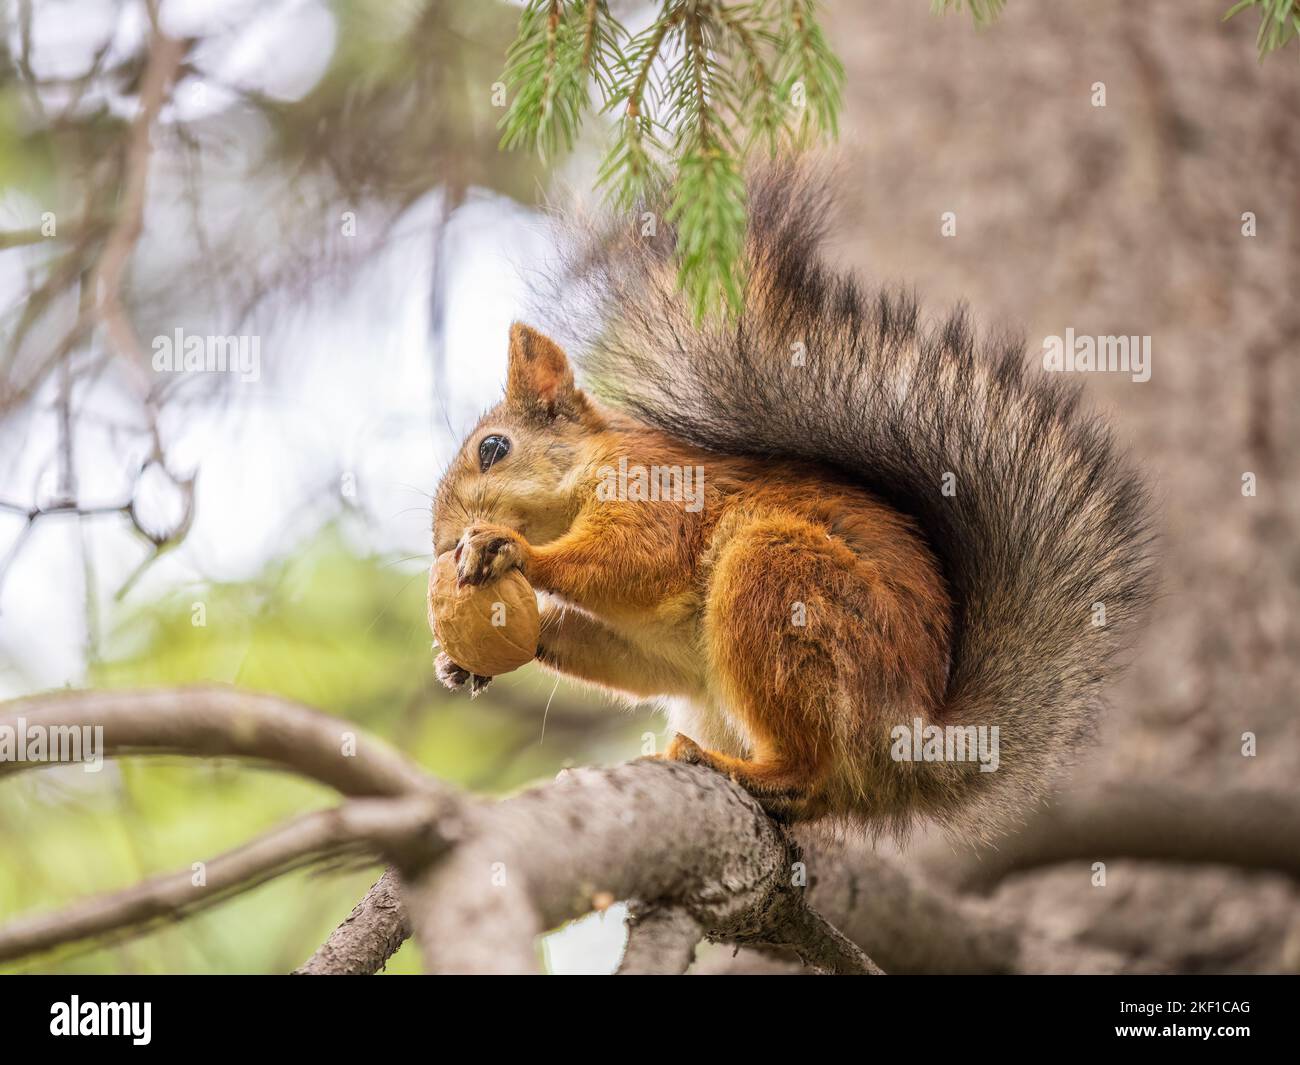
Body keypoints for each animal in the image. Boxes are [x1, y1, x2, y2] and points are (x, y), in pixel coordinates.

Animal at [431, 163, 1155, 835]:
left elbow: (633, 561)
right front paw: (462, 661)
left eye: (492, 448)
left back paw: (738, 768)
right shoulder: (664, 654)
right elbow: (632, 659)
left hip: (784, 584)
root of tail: (909, 736)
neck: (587, 475)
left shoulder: (657, 493)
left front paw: (513, 550)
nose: (440, 540)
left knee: (809, 776)